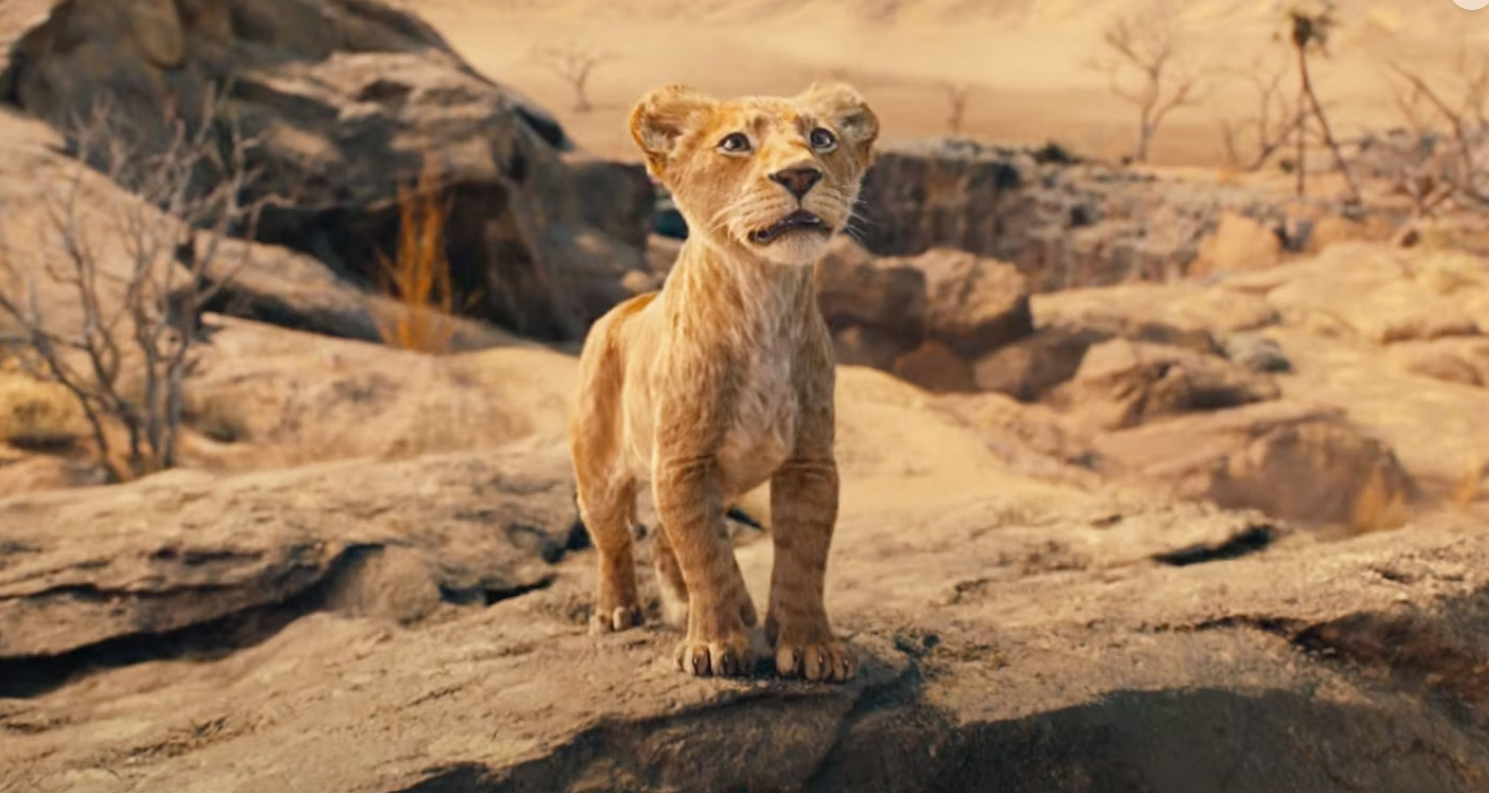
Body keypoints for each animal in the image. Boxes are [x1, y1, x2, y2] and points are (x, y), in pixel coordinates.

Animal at [567, 82, 879, 682]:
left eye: (821, 138)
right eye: (735, 142)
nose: (800, 175)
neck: (763, 296)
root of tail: (622, 308)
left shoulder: (810, 462)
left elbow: (803, 557)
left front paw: (810, 645)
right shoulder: (683, 462)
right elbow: (705, 554)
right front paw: (713, 646)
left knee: (667, 542)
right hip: (599, 472)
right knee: (615, 541)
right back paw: (617, 610)